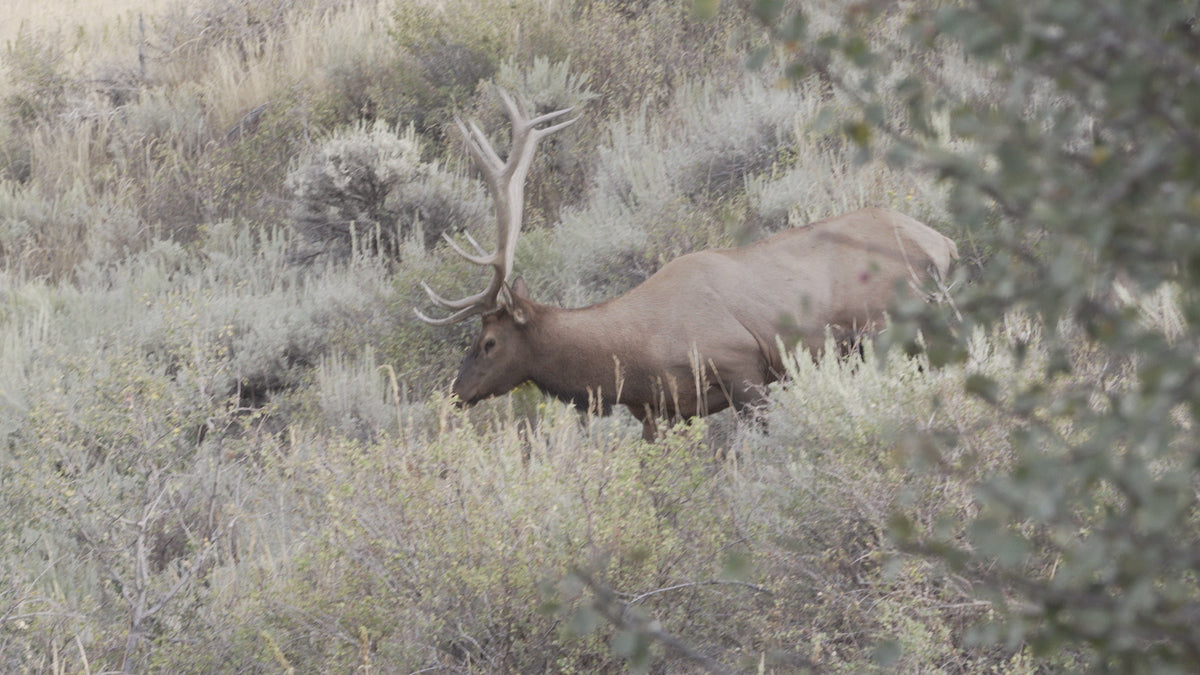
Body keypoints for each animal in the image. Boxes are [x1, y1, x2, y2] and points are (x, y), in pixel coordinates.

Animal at [416, 90, 958, 441]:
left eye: (488, 341)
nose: (455, 393)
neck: (631, 357)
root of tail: (943, 244)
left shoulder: (743, 370)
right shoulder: (658, 412)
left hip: (903, 323)